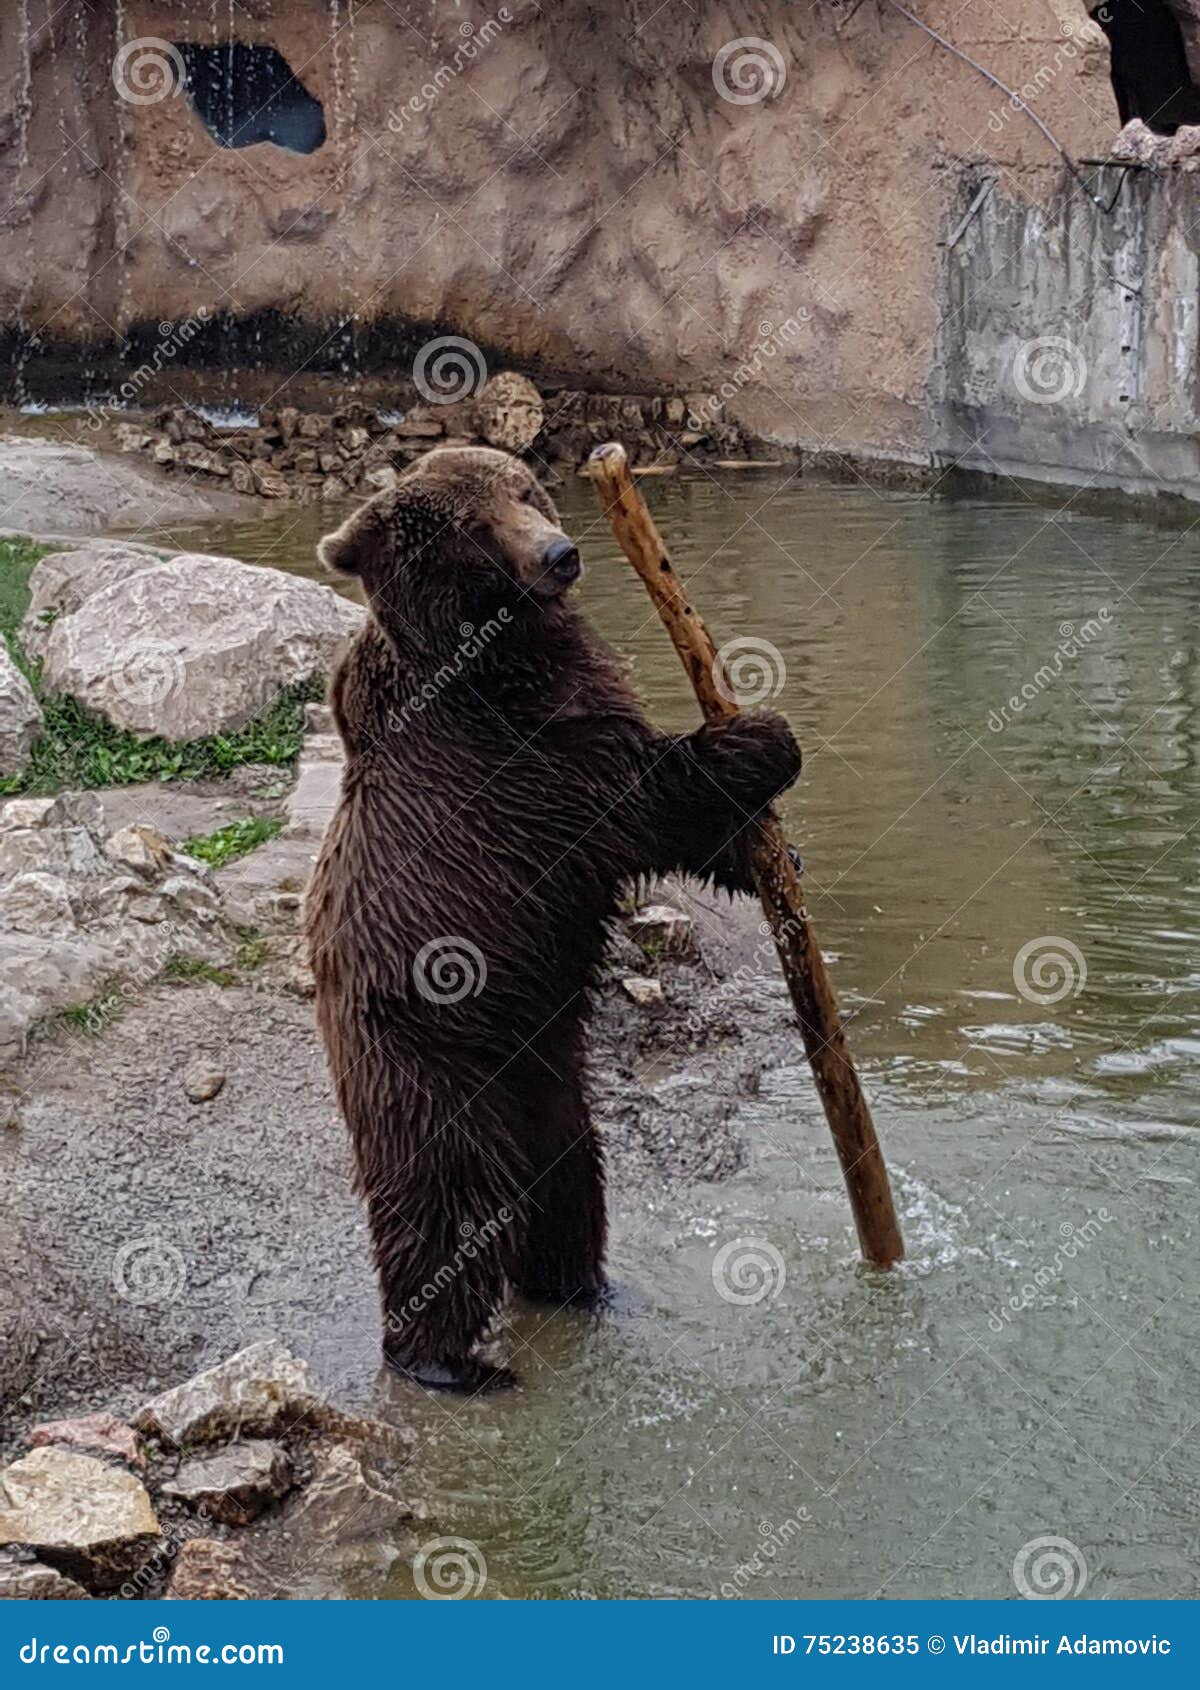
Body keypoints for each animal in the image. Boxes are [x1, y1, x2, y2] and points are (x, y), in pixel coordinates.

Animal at [306, 446, 801, 1392]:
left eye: (527, 491)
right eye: (475, 524)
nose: (561, 554)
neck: (497, 651)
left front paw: (776, 856)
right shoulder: (519, 762)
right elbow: (641, 796)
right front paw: (764, 738)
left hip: (544, 1072)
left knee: (569, 1183)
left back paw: (583, 1289)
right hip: (428, 1057)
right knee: (445, 1203)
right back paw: (446, 1361)